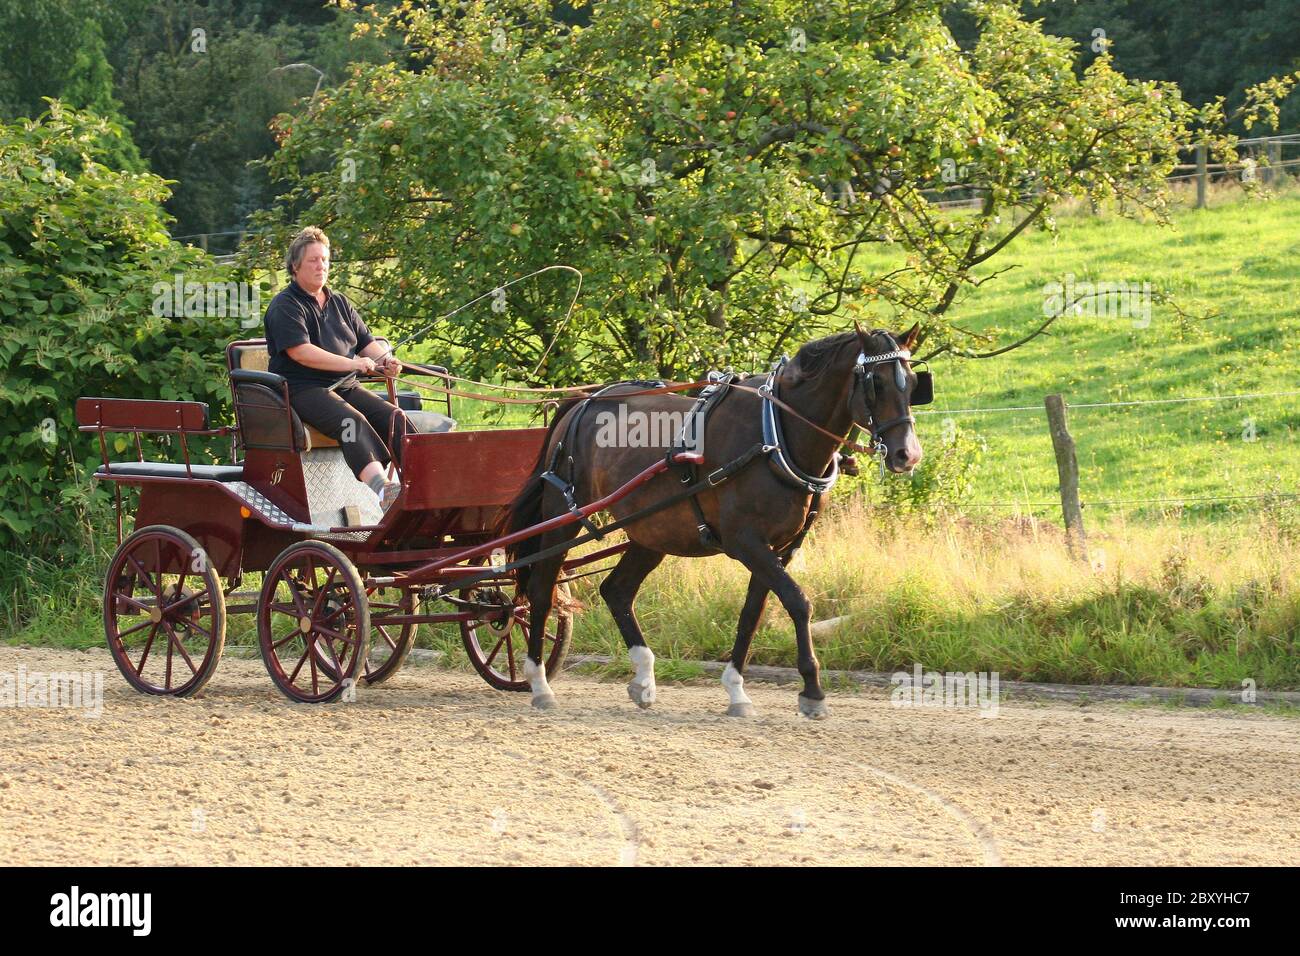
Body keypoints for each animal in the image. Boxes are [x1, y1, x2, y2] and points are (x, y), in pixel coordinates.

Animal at [498, 323, 926, 717]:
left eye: (912, 384)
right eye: (876, 383)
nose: (907, 455)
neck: (774, 434)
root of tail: (584, 400)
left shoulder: (778, 549)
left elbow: (752, 614)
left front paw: (737, 690)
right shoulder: (744, 541)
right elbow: (798, 602)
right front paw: (812, 691)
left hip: (653, 531)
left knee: (616, 590)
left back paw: (644, 679)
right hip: (562, 515)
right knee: (541, 589)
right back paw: (538, 681)